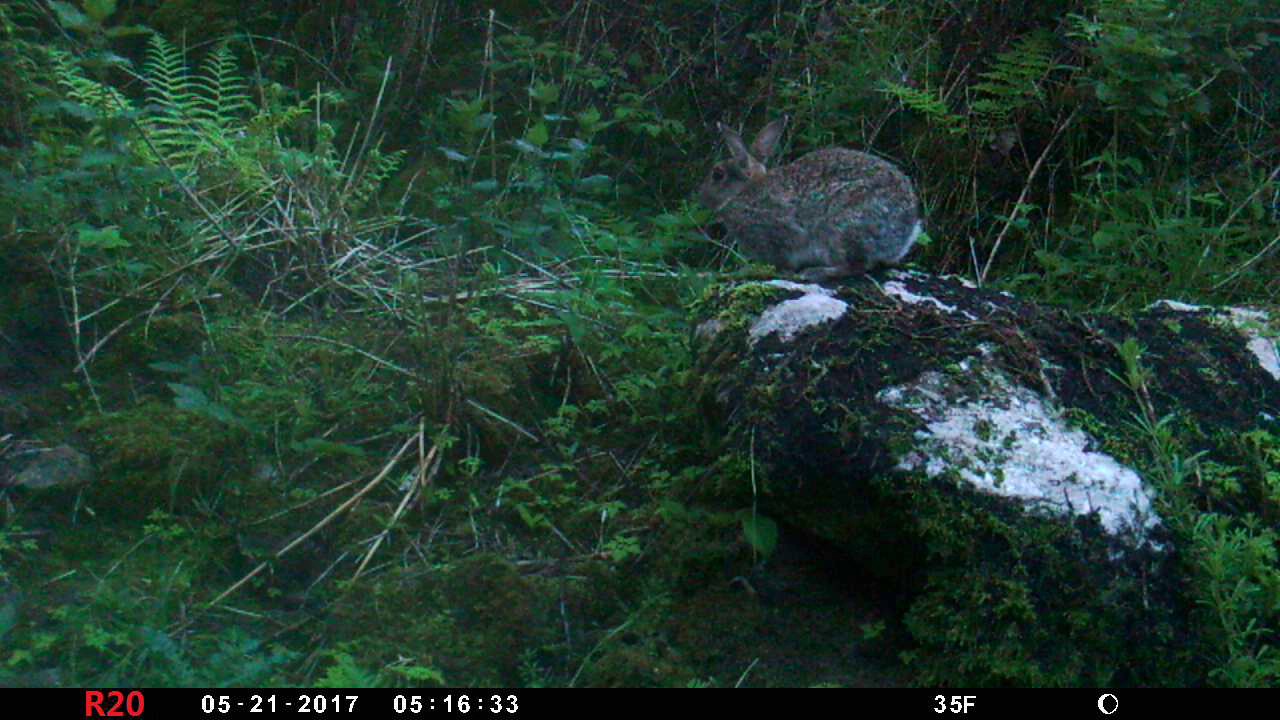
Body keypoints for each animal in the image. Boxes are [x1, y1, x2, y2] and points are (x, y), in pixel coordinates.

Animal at [698, 116, 922, 281]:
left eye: (717, 174)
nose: (701, 196)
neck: (745, 191)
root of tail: (908, 227)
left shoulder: (775, 231)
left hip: (842, 227)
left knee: (857, 265)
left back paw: (816, 272)